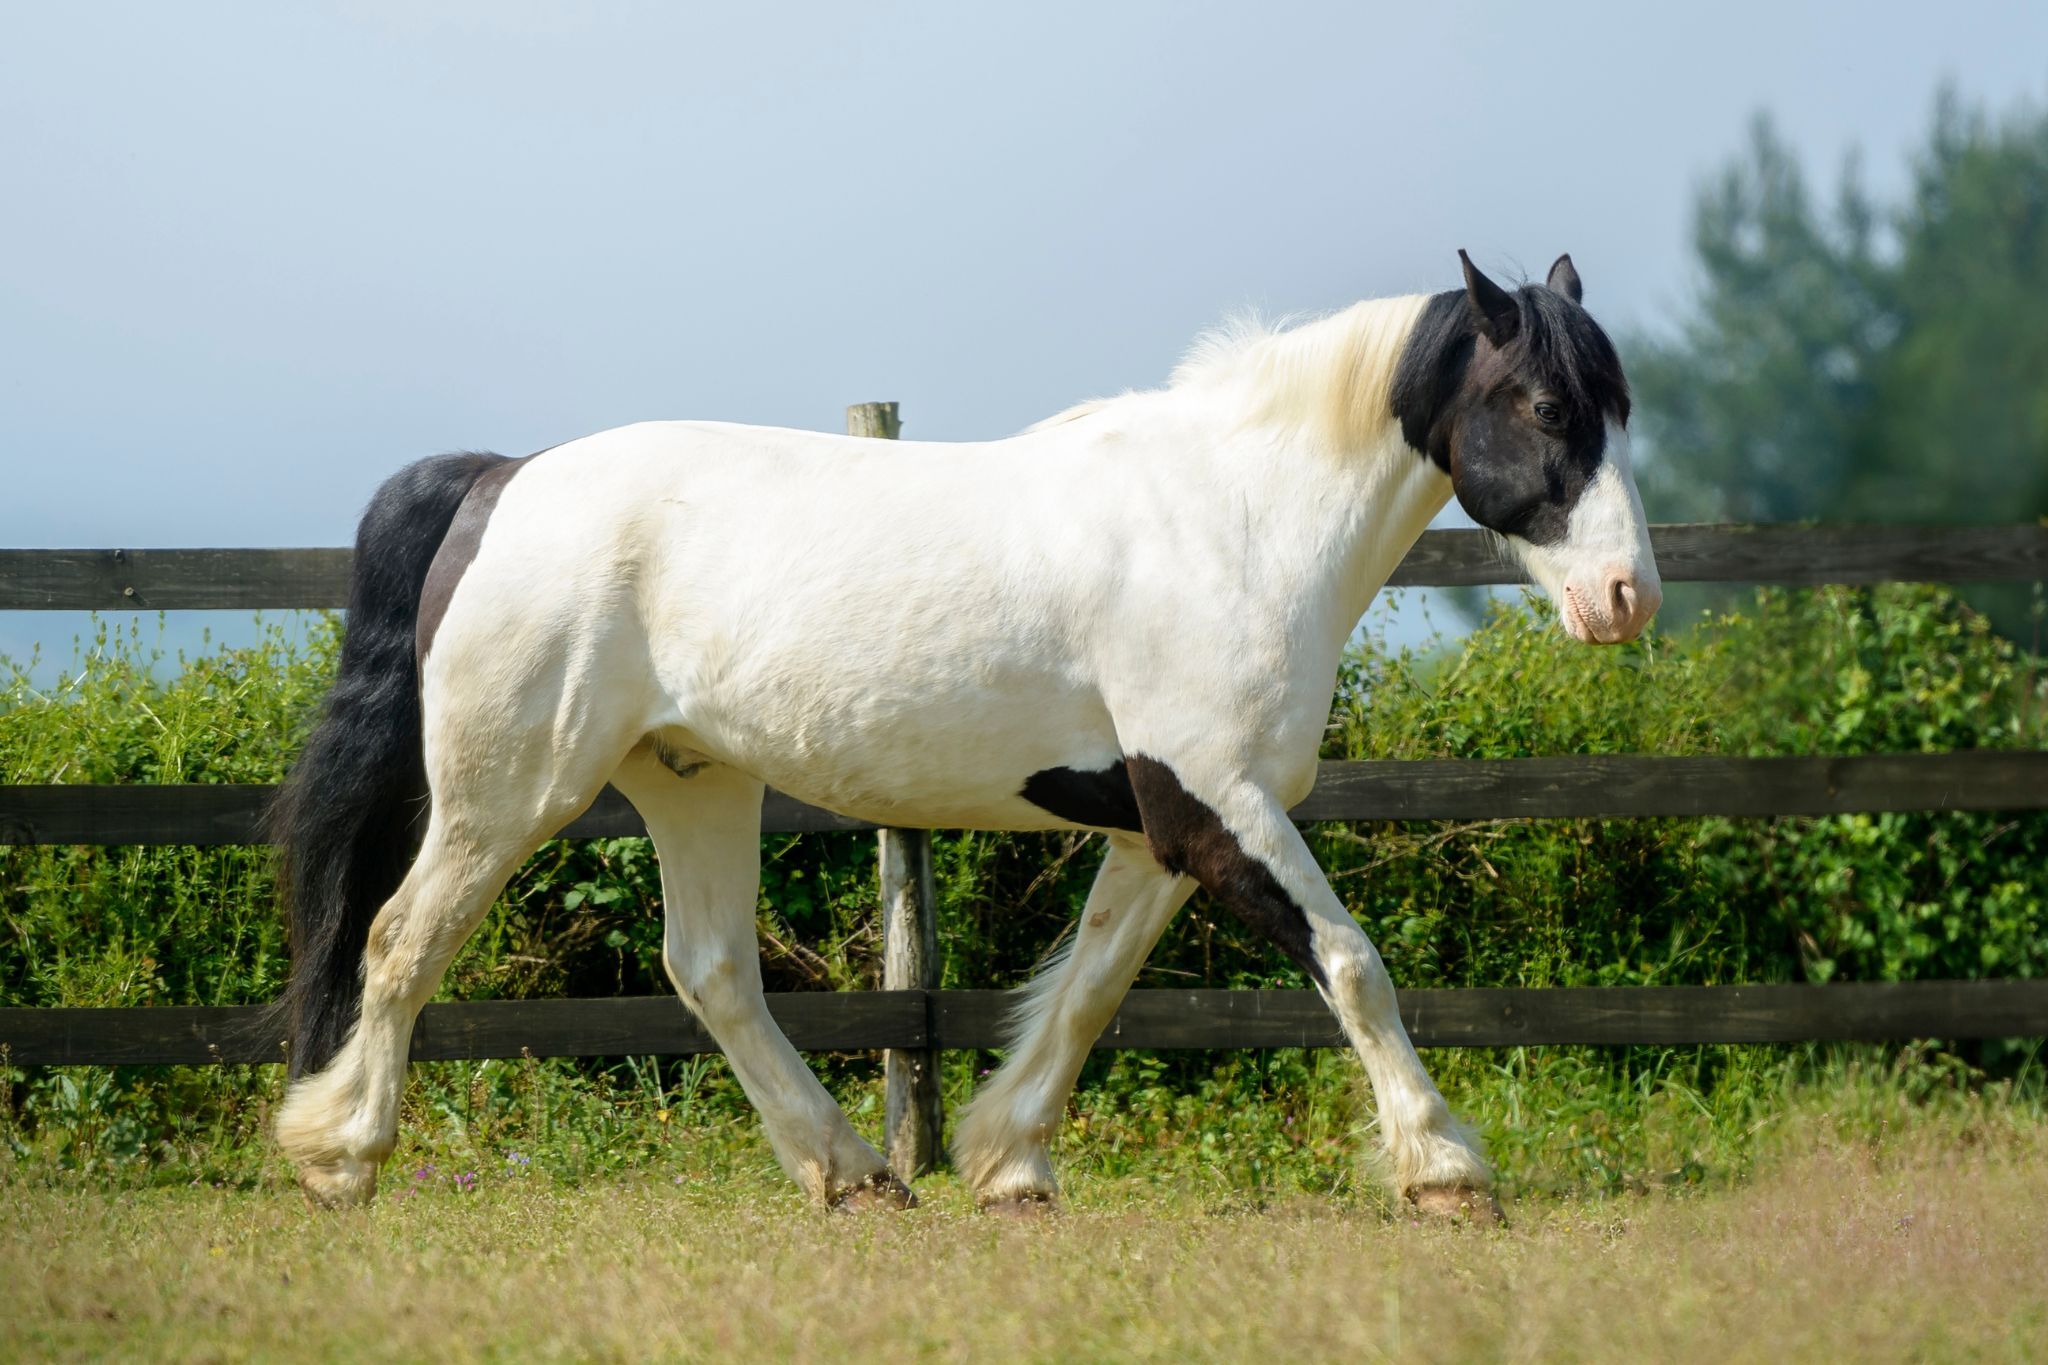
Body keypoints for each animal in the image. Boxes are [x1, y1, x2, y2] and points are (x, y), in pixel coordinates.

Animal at [270, 251, 1658, 1220]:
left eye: (1617, 407)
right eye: (1545, 405)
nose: (1624, 597)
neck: (1234, 520)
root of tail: (503, 479)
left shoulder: (1164, 830)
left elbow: (1089, 989)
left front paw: (1008, 1166)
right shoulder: (1217, 808)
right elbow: (1351, 963)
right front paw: (1444, 1170)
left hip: (691, 780)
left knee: (709, 971)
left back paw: (851, 1174)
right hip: (506, 792)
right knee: (399, 943)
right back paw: (339, 1158)